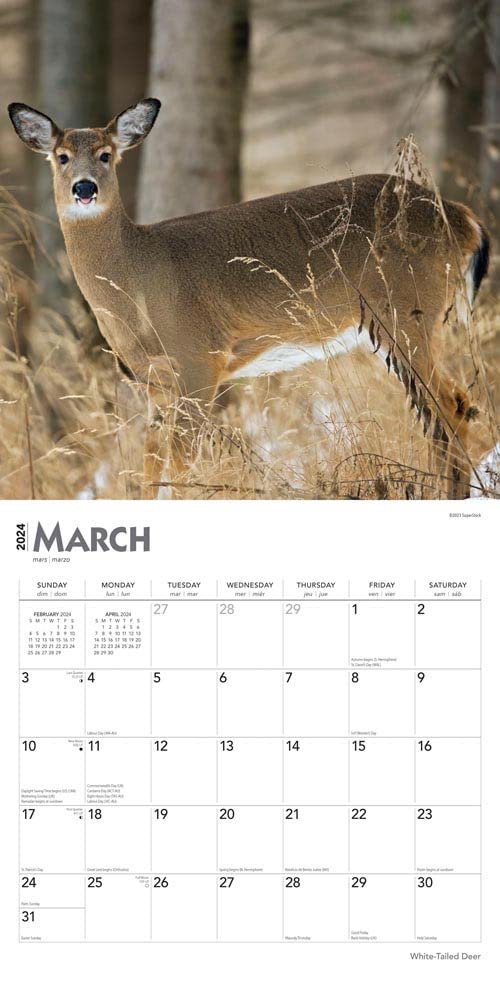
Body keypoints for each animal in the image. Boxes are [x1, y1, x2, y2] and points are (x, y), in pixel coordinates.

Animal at [8, 98, 490, 500]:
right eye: (61, 156)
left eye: (106, 154)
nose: (84, 188)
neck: (138, 280)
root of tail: (462, 218)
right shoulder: (152, 382)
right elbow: (149, 469)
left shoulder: (198, 360)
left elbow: (181, 469)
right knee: (445, 411)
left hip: (406, 310)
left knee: (452, 406)